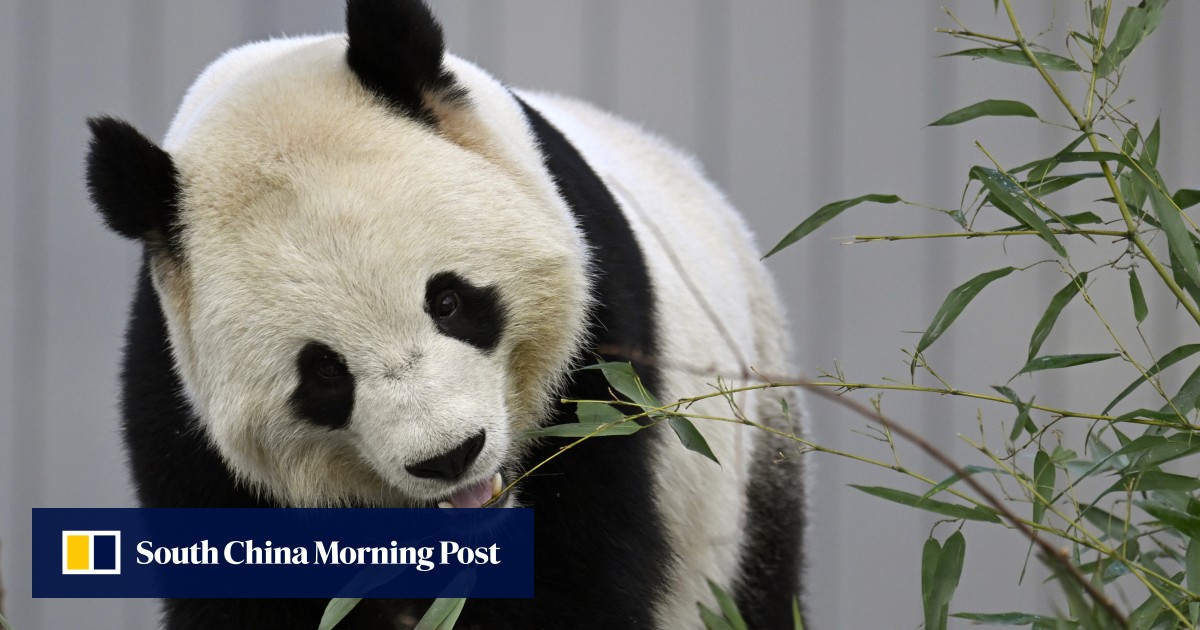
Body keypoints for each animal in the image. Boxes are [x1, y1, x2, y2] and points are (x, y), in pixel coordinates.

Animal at [84, 0, 806, 628]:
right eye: (323, 372)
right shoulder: (188, 427)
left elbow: (577, 581)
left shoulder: (602, 370)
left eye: (450, 302)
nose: (450, 457)